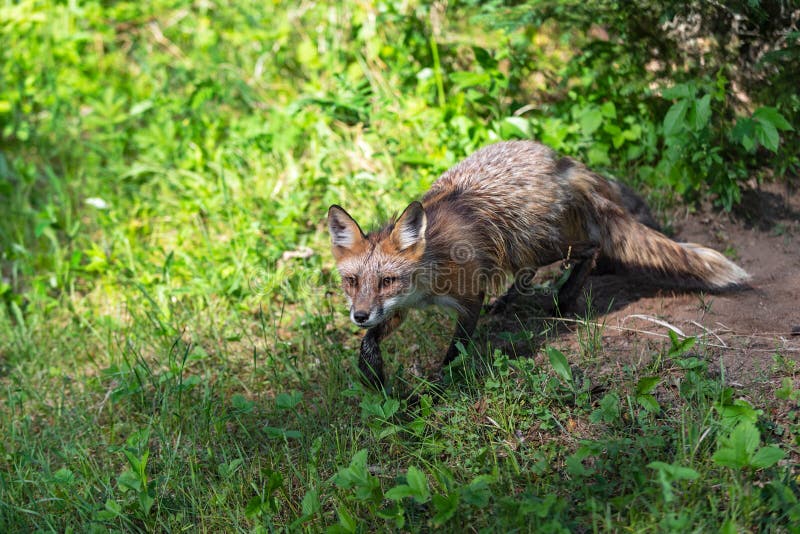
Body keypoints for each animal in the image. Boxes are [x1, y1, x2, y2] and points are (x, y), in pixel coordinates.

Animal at [327, 140, 749, 389]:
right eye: (352, 281)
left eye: (388, 280)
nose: (359, 315)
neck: (429, 274)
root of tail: (562, 162)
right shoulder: (400, 308)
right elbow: (368, 343)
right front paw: (372, 374)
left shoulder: (469, 297)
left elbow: (457, 349)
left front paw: (442, 381)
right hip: (522, 248)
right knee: (532, 273)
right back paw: (515, 300)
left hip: (537, 242)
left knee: (591, 249)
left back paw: (565, 297)